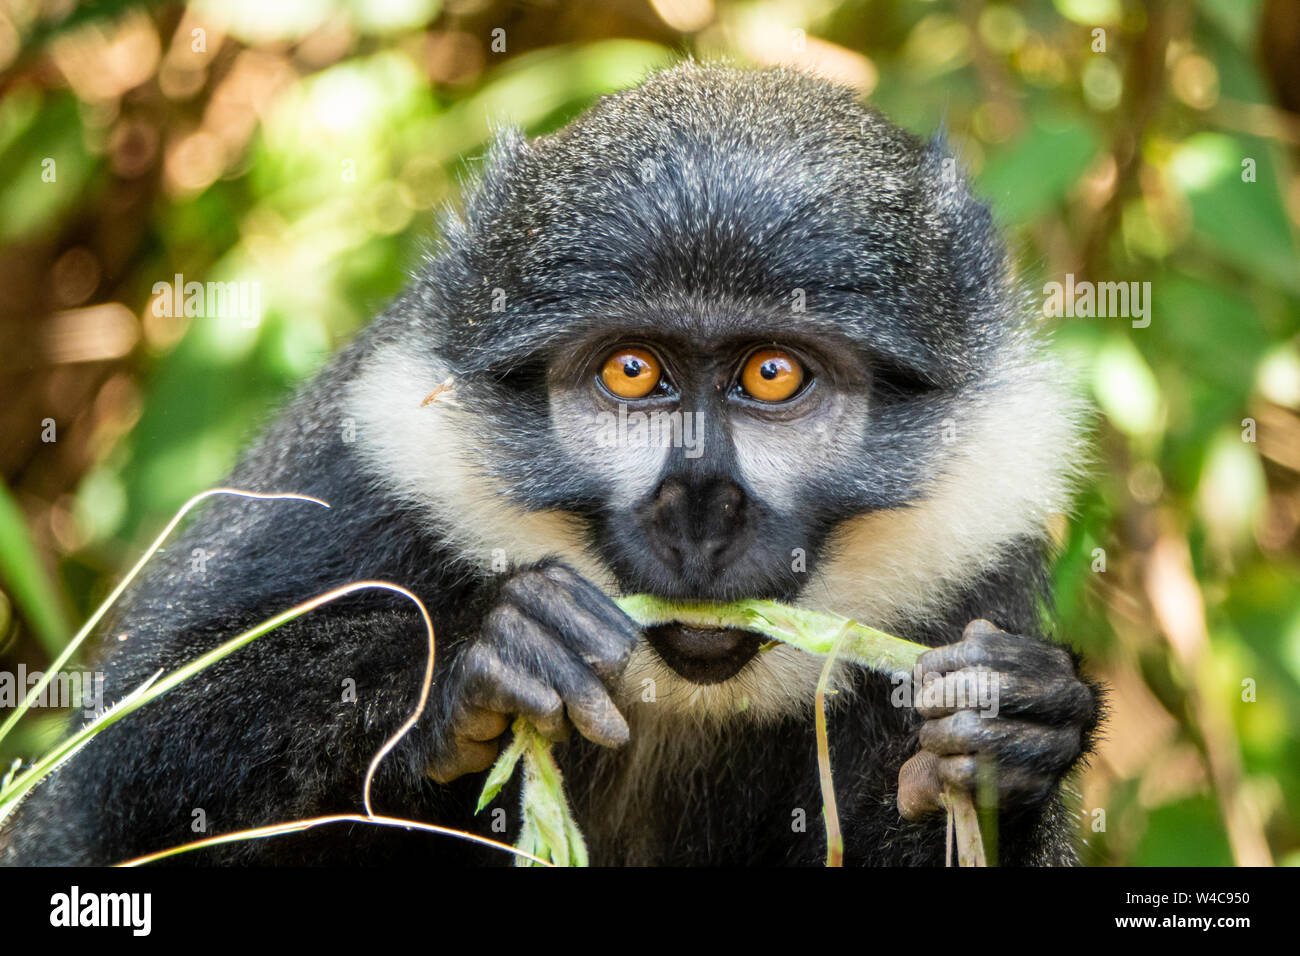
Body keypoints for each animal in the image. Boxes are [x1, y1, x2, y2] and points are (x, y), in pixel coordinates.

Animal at [2, 62, 1102, 867]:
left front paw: (1013, 731)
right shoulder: (348, 483)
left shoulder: (976, 571)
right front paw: (487, 661)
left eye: (773, 373)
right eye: (632, 371)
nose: (698, 505)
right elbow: (113, 791)